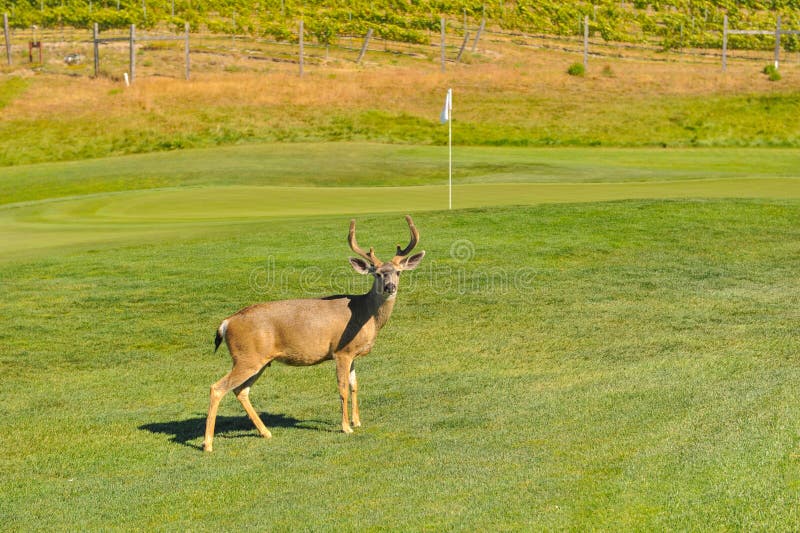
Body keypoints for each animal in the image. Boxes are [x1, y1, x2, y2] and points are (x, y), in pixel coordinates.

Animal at [203, 215, 425, 452]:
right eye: (377, 273)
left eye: (398, 271)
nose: (390, 287)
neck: (365, 314)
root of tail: (227, 323)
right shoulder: (341, 351)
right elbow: (342, 388)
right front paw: (346, 427)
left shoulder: (353, 354)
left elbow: (355, 385)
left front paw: (357, 421)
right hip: (246, 356)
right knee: (217, 388)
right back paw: (208, 444)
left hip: (258, 360)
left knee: (241, 391)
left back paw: (265, 432)